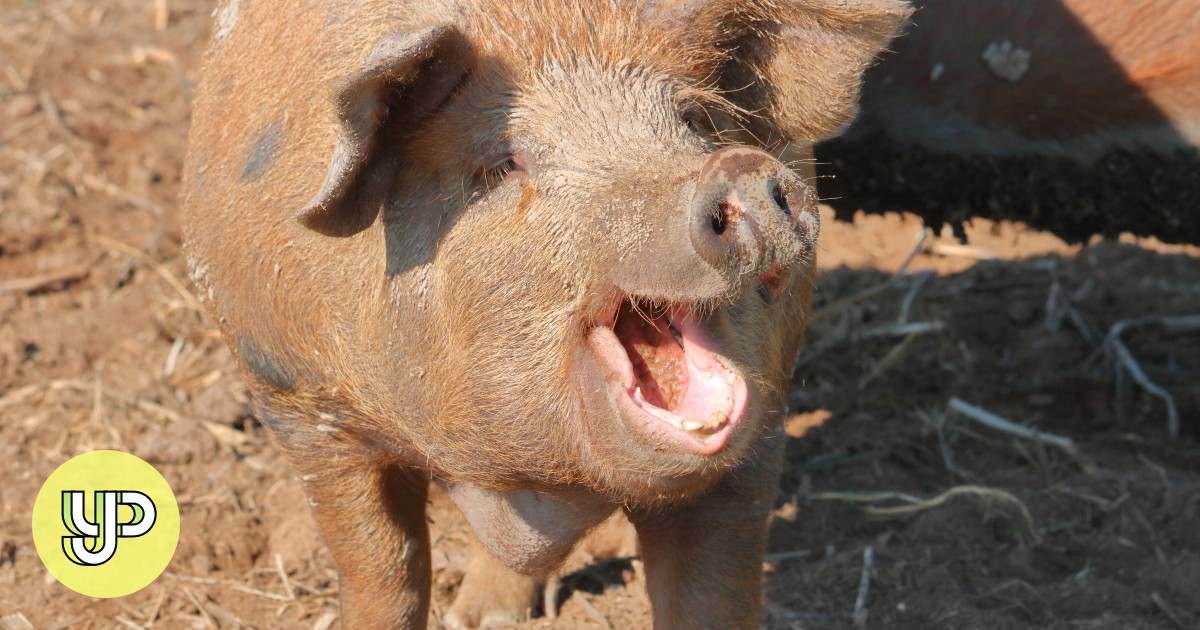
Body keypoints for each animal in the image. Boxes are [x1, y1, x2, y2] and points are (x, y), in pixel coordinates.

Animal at [181, 1, 910, 627]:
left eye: (696, 120)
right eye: (504, 163)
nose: (736, 173)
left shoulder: (760, 432)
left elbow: (711, 597)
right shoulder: (300, 404)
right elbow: (385, 575)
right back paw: (478, 620)